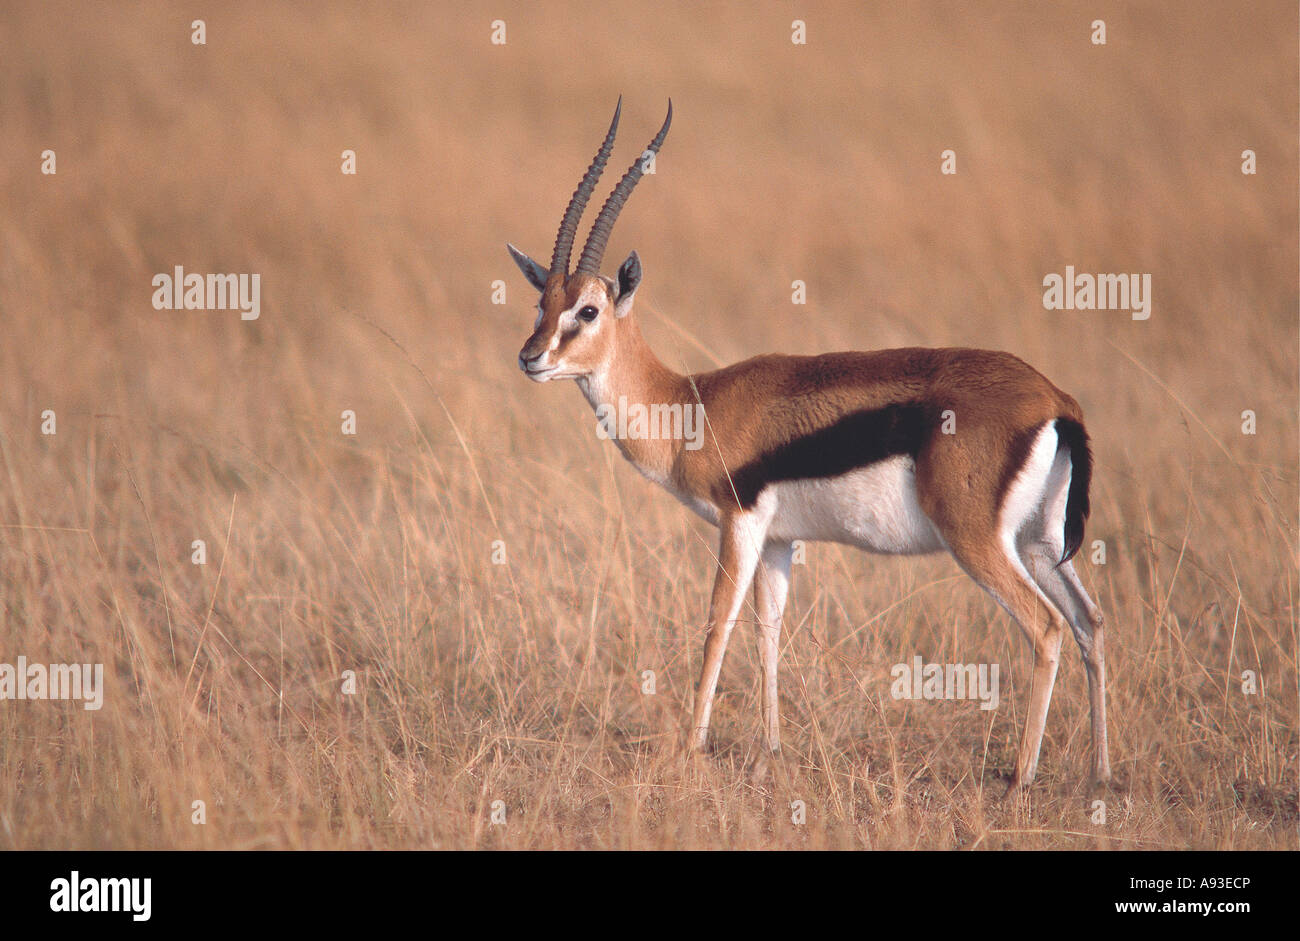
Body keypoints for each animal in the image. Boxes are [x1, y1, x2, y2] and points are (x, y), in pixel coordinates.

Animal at [507, 100, 1111, 791]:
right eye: (541, 302)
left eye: (587, 310)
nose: (529, 358)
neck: (690, 403)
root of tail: (1056, 402)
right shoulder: (777, 540)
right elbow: (768, 631)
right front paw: (770, 750)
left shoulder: (739, 522)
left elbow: (717, 627)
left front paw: (691, 750)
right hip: (1039, 540)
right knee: (1090, 622)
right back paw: (1101, 774)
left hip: (979, 541)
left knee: (1047, 628)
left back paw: (1020, 779)